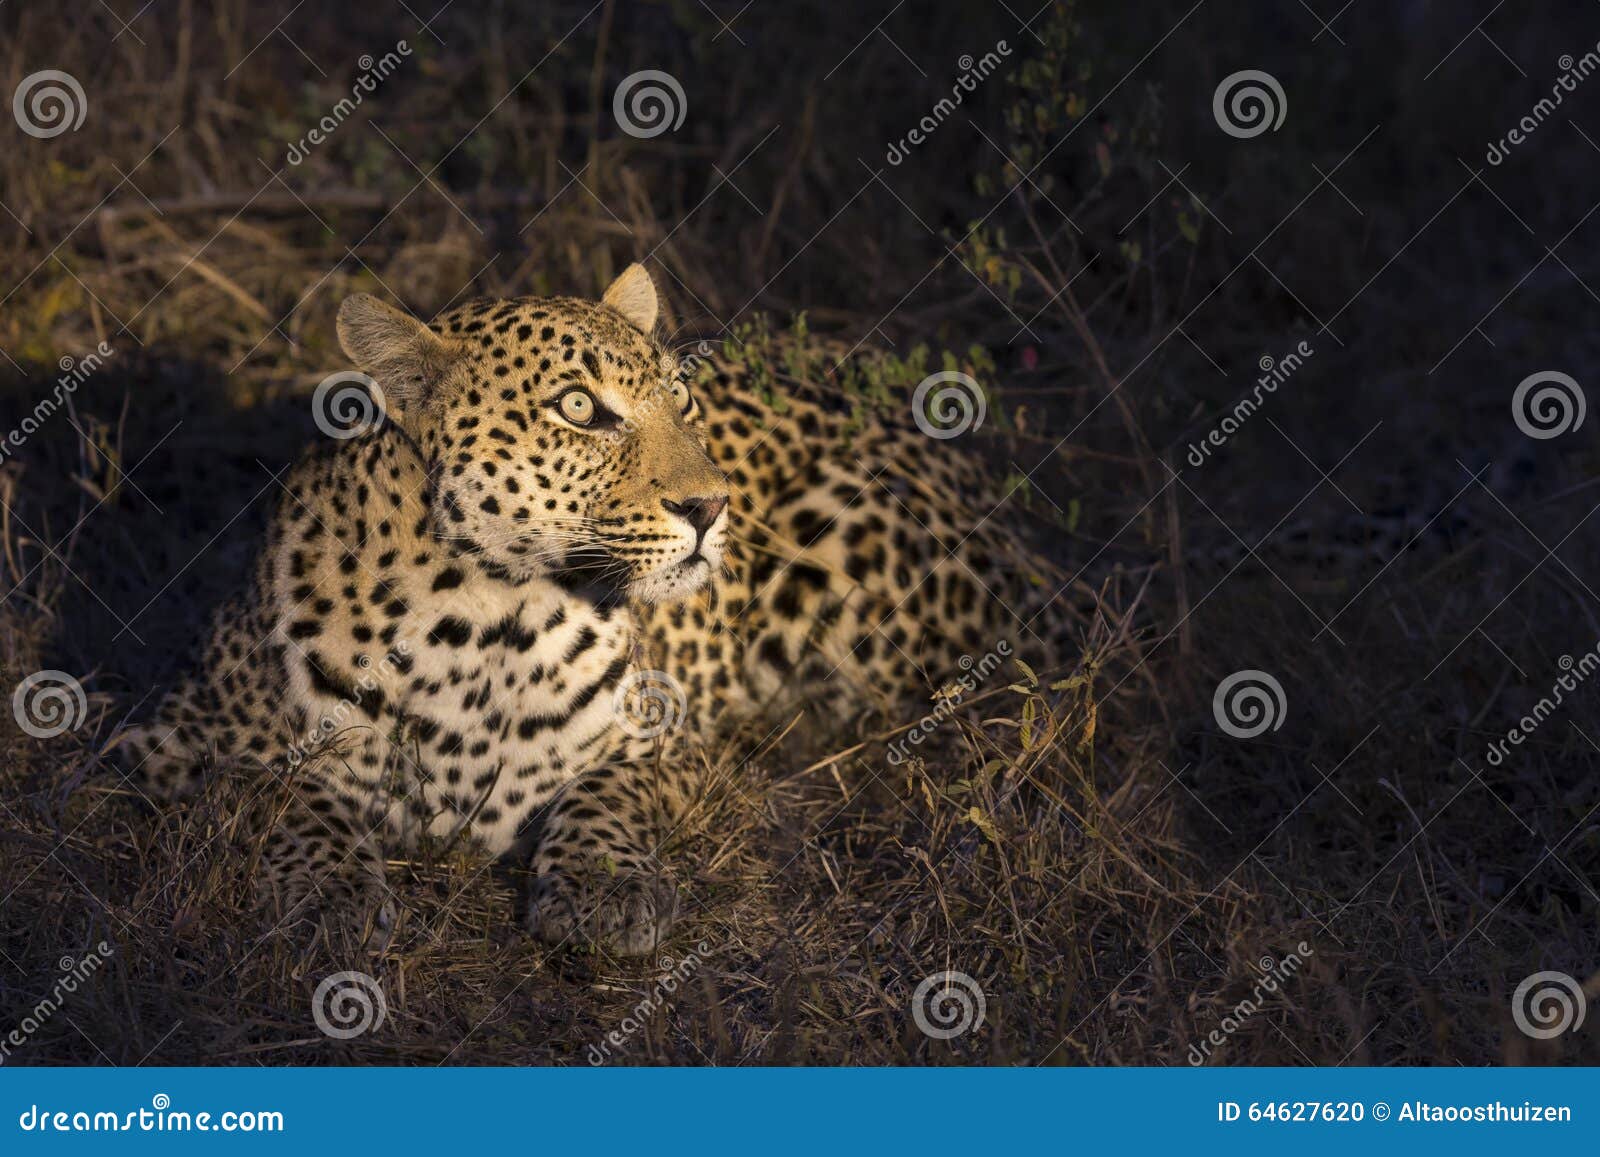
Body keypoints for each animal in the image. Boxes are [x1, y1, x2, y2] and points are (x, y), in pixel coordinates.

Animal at [117, 264, 1075, 955]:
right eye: (580, 408)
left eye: (681, 400)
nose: (713, 505)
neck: (486, 620)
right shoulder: (167, 739)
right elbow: (289, 790)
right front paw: (331, 897)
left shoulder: (677, 745)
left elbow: (608, 787)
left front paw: (606, 889)